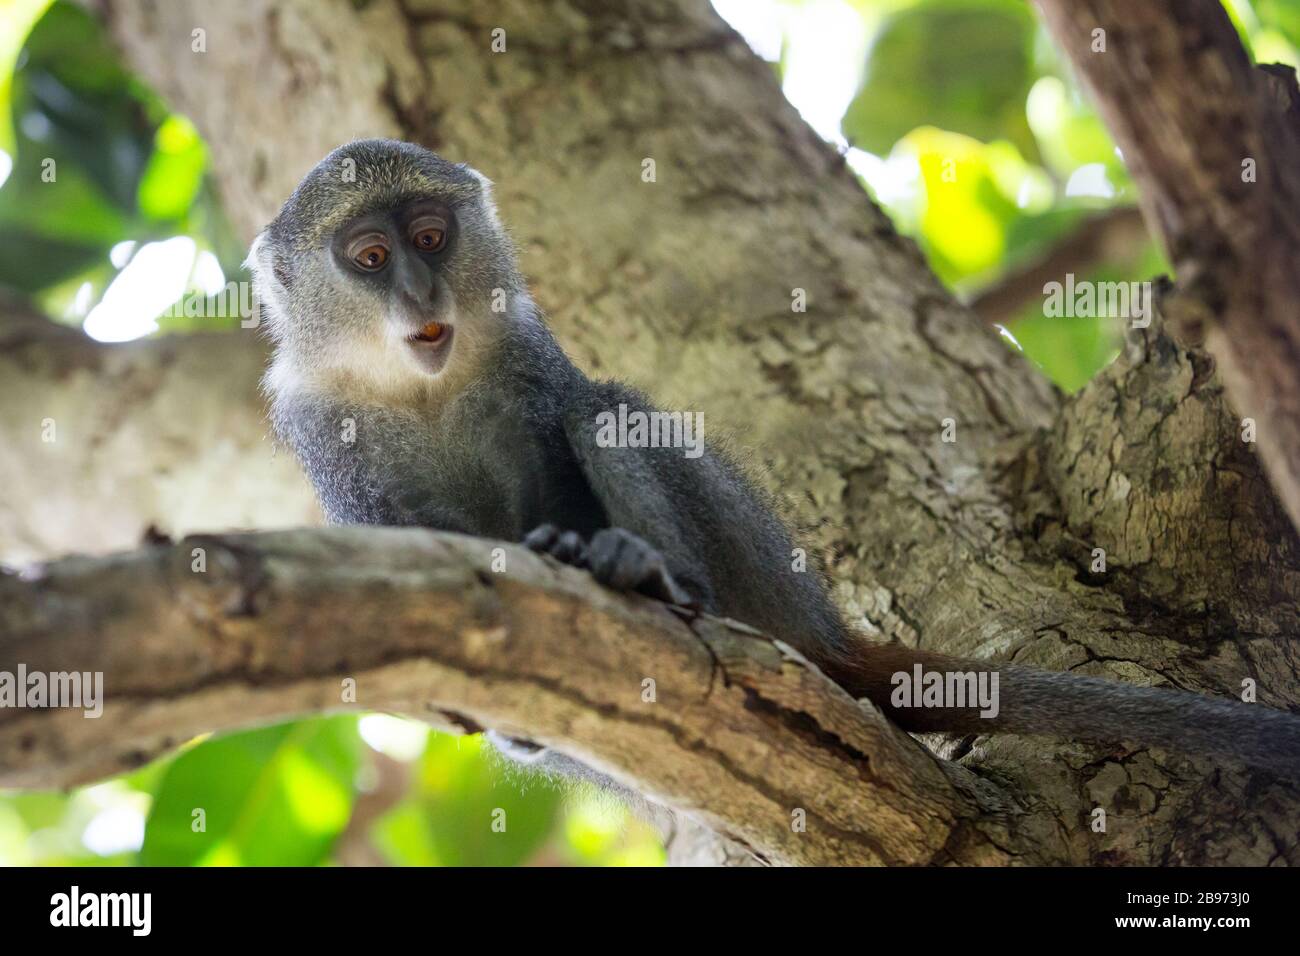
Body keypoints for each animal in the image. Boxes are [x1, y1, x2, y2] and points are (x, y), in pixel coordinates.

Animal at [248, 138, 1300, 782]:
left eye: (432, 237)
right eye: (371, 257)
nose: (422, 291)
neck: (420, 383)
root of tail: (823, 632)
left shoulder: (527, 355)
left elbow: (567, 440)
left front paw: (592, 551)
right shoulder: (321, 428)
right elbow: (405, 540)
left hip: (753, 563)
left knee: (609, 413)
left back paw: (660, 580)